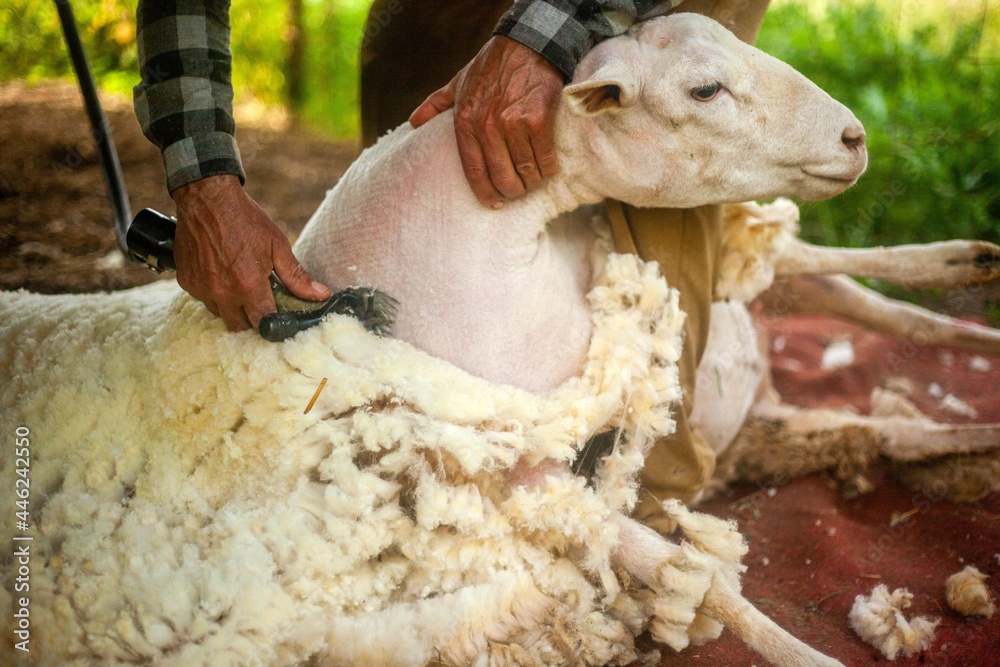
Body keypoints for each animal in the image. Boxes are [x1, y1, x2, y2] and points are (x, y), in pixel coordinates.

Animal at [0, 13, 901, 666]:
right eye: (706, 90)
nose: (856, 138)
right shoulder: (532, 482)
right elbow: (708, 584)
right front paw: (810, 656)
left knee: (830, 271)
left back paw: (941, 283)